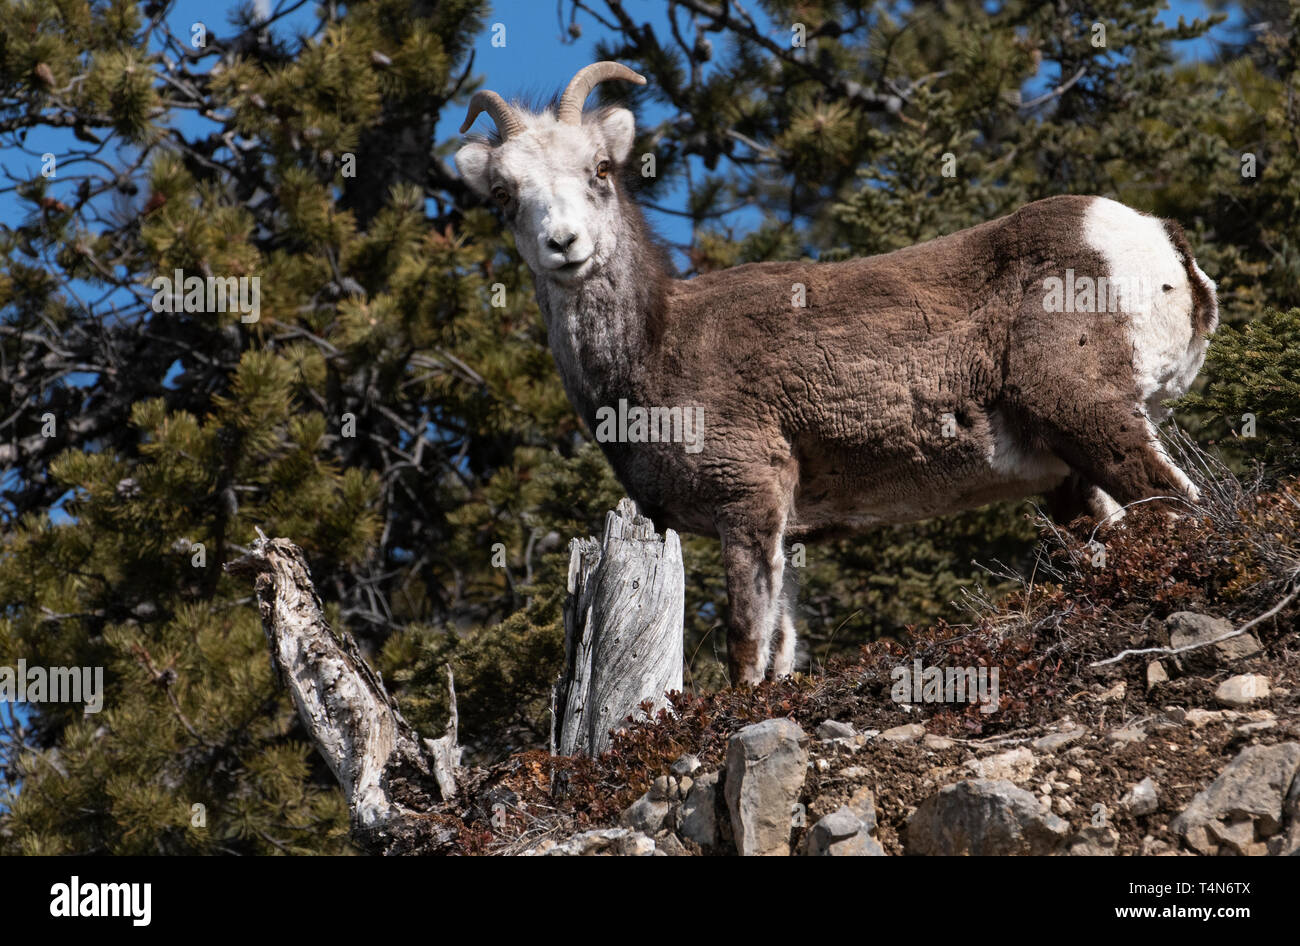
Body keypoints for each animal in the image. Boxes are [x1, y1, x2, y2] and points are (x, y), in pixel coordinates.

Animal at [455, 62, 1219, 685]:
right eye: (503, 194)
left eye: (601, 171)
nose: (563, 245)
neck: (652, 348)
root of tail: (1159, 242)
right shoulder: (786, 532)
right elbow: (781, 650)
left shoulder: (748, 499)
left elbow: (745, 645)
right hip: (1071, 476)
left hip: (1087, 414)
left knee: (1182, 506)